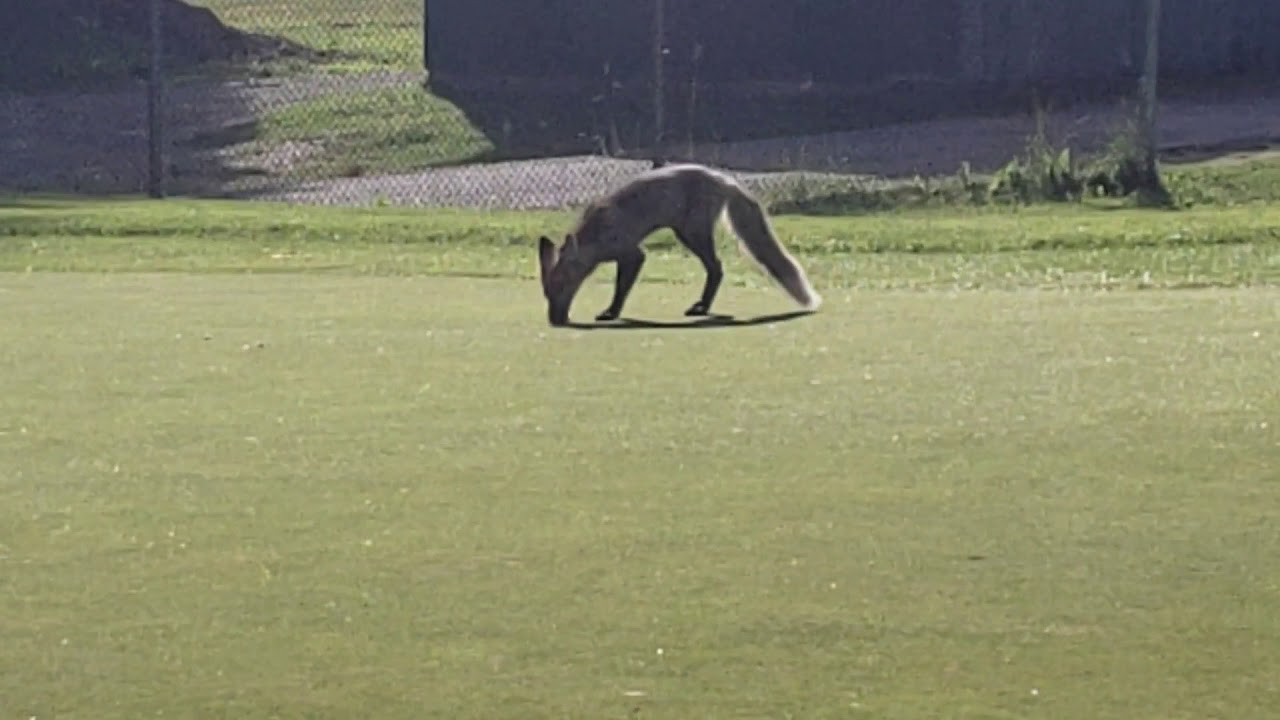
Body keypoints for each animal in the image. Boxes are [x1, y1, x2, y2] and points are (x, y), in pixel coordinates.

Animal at [536, 163, 821, 326]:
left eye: (562, 287)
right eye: (547, 294)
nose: (555, 321)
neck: (595, 235)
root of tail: (725, 178)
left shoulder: (632, 254)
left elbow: (621, 289)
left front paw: (613, 313)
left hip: (691, 234)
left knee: (717, 268)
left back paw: (703, 307)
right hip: (687, 234)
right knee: (716, 269)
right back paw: (703, 307)